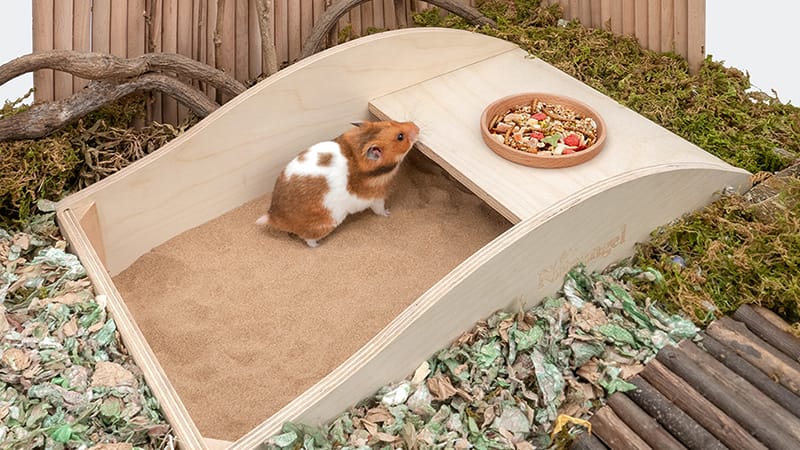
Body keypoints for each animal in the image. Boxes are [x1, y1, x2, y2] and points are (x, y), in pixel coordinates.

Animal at [256, 120, 420, 247]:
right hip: (325, 225)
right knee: (307, 239)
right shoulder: (377, 199)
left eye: (392, 122)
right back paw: (317, 245)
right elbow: (379, 209)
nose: (416, 126)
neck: (357, 149)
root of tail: (273, 215)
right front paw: (388, 213)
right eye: (400, 137)